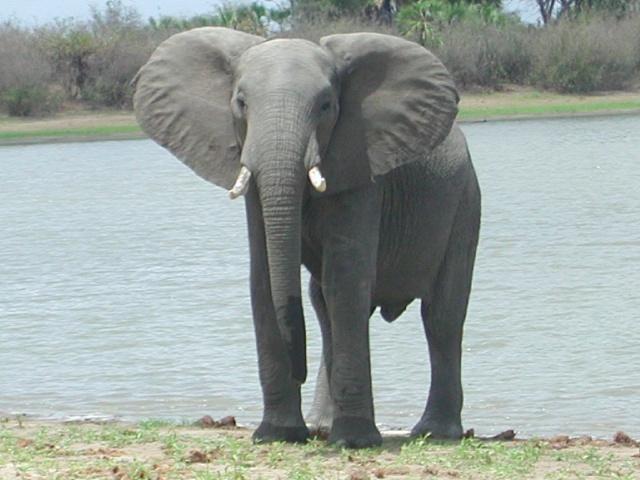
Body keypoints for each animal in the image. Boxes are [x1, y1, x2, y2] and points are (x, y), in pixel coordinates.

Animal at [133, 27, 481, 448]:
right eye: (241, 103)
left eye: (327, 106)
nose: (296, 365)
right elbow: (265, 277)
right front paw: (278, 435)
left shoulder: (361, 161)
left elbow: (345, 278)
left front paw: (354, 442)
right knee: (323, 308)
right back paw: (322, 426)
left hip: (465, 203)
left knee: (442, 316)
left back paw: (434, 433)